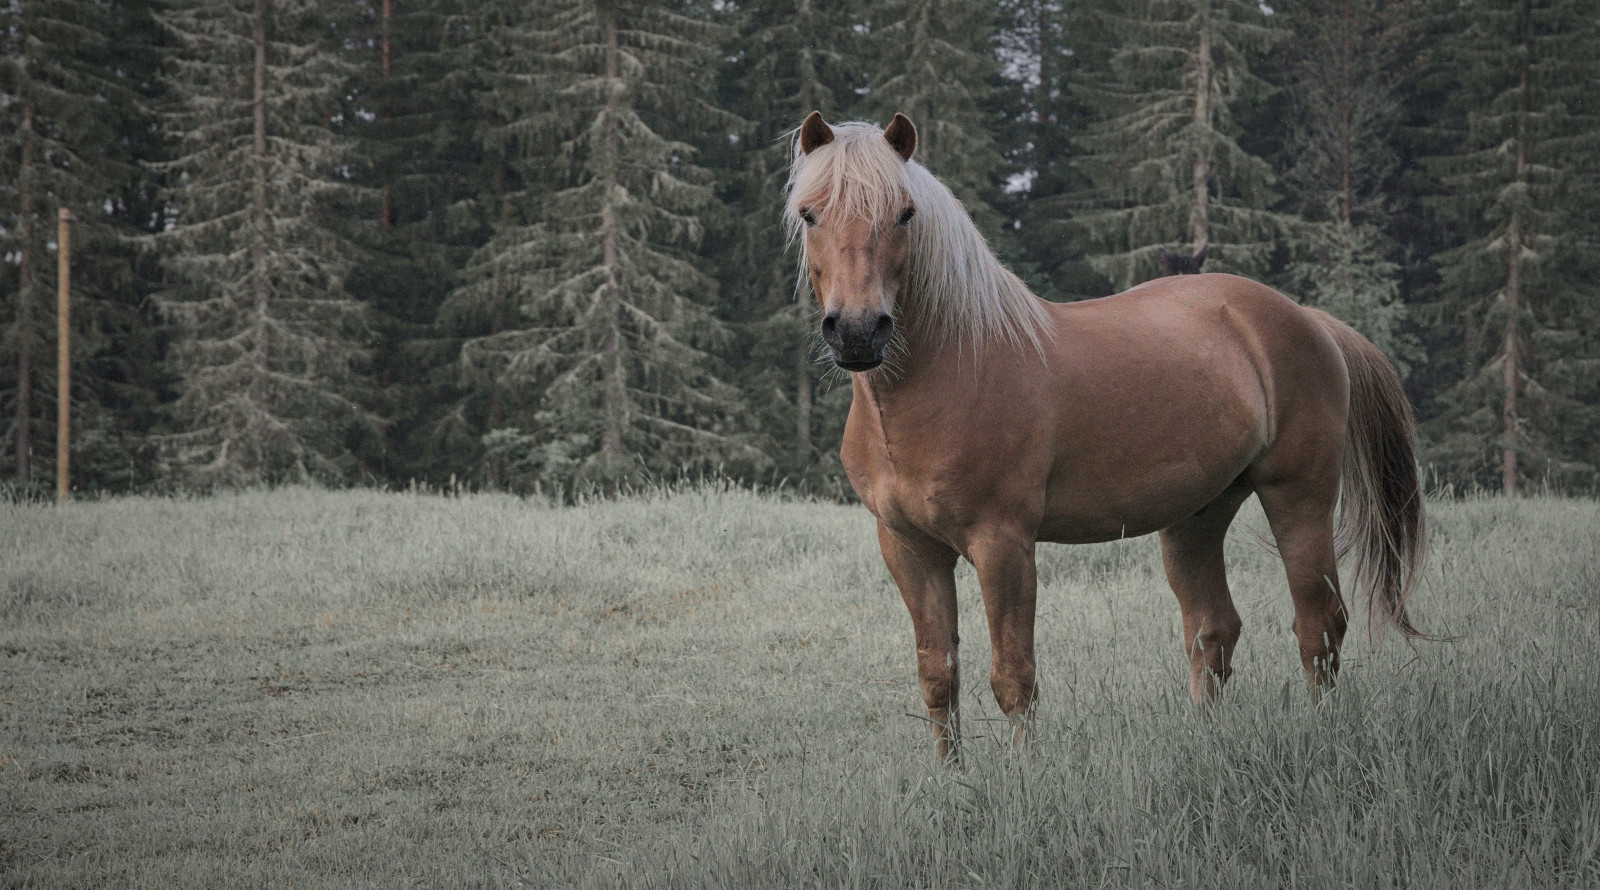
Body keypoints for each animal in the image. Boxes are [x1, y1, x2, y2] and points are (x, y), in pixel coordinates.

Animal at [787, 112, 1427, 764]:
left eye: (905, 213)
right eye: (810, 214)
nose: (858, 331)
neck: (949, 374)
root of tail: (1308, 319)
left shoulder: (1003, 544)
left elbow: (1013, 676)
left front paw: (1024, 778)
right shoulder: (908, 549)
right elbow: (938, 675)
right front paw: (951, 781)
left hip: (1299, 497)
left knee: (1318, 625)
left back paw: (1326, 737)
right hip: (1196, 516)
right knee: (1213, 631)